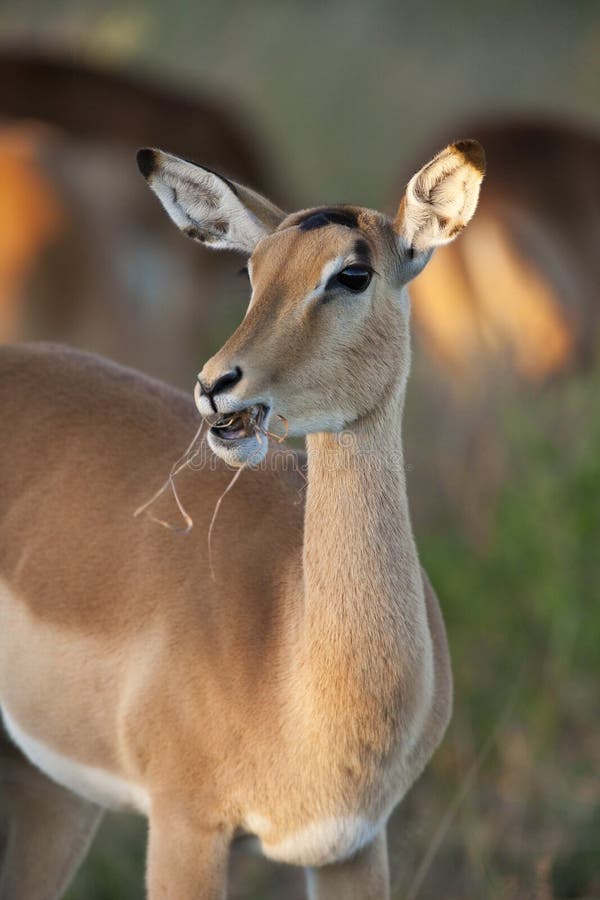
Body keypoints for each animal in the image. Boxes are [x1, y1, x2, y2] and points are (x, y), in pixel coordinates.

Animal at [0, 137, 484, 899]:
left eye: (353, 273)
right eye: (250, 269)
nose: (214, 384)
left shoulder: (352, 846)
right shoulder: (185, 827)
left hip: (50, 789)